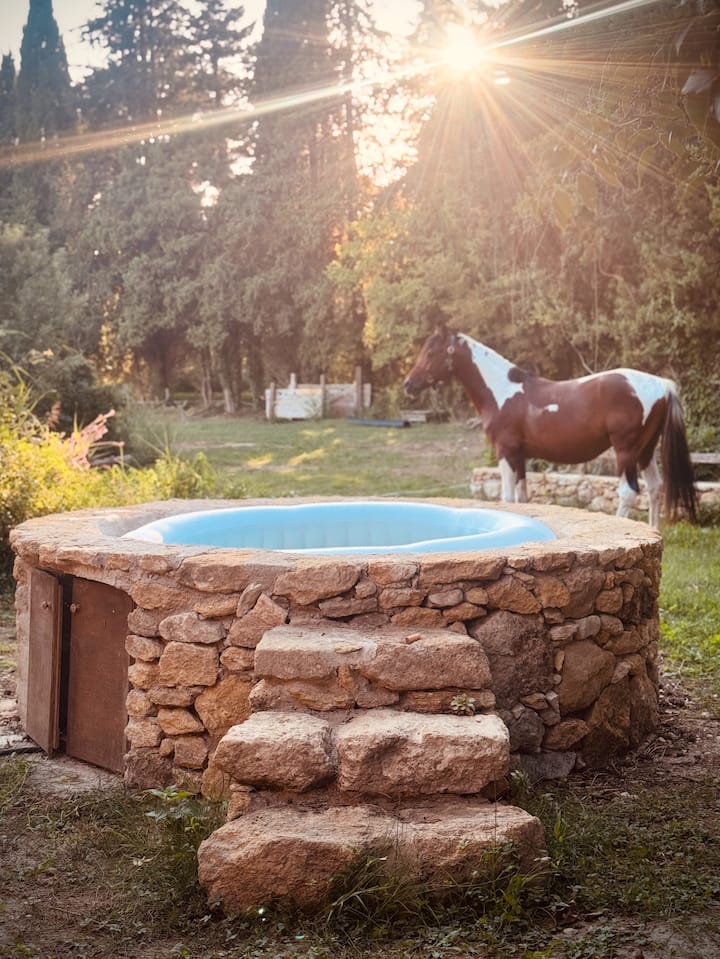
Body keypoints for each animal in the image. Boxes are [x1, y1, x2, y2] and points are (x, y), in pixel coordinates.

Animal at [404, 326, 698, 527]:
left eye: (431, 352)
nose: (408, 384)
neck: (502, 391)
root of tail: (661, 384)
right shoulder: (520, 456)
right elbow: (522, 498)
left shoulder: (506, 453)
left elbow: (507, 498)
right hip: (646, 451)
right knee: (655, 489)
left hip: (625, 451)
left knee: (628, 493)